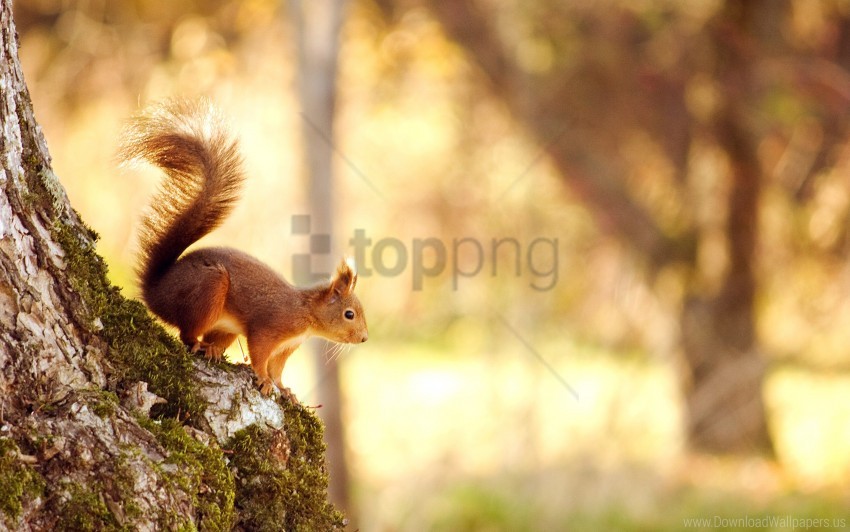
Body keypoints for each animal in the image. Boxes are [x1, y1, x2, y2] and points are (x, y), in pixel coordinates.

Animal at [120, 99, 368, 396]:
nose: (364, 338)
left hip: (226, 326)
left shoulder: (287, 347)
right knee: (186, 333)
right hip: (208, 289)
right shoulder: (270, 328)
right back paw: (200, 344)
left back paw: (213, 349)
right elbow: (260, 354)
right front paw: (263, 379)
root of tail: (155, 292)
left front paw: (284, 388)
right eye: (349, 314)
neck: (306, 313)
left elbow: (278, 369)